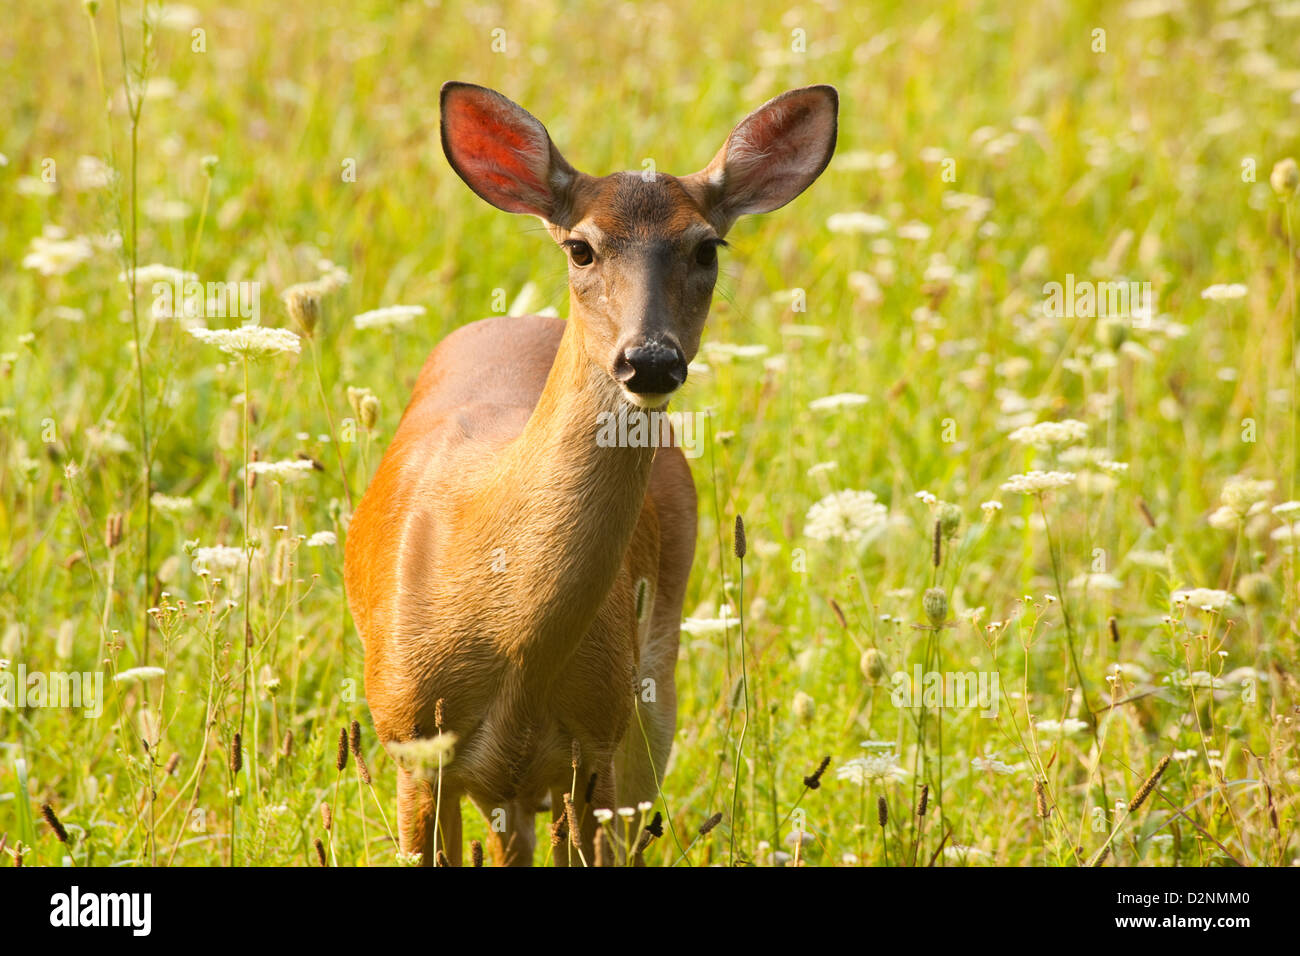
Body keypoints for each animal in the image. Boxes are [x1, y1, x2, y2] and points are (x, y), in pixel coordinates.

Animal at [343, 81, 838, 866]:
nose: (651, 360)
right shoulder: (408, 735)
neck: (511, 636)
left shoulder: (595, 744)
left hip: (648, 698)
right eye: (581, 247)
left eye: (708, 246)